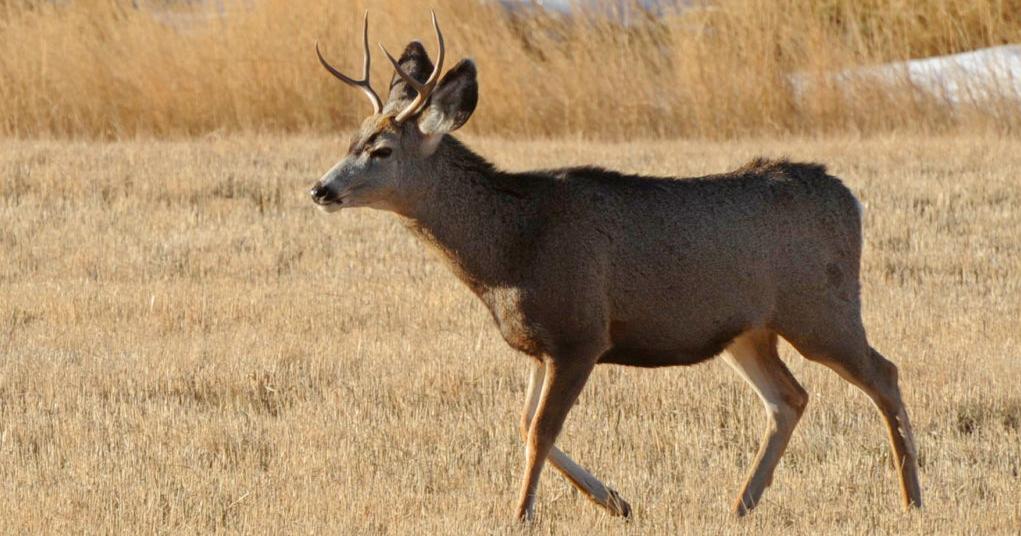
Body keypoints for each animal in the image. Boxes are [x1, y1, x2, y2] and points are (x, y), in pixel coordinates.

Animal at [309, 12, 923, 521]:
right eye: (351, 139)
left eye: (382, 150)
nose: (321, 189)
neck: (510, 249)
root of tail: (850, 198)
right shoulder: (541, 344)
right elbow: (525, 425)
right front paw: (617, 502)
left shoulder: (581, 332)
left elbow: (539, 432)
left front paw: (521, 515)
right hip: (749, 330)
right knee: (789, 398)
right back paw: (741, 505)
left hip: (820, 307)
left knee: (884, 374)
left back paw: (912, 499)